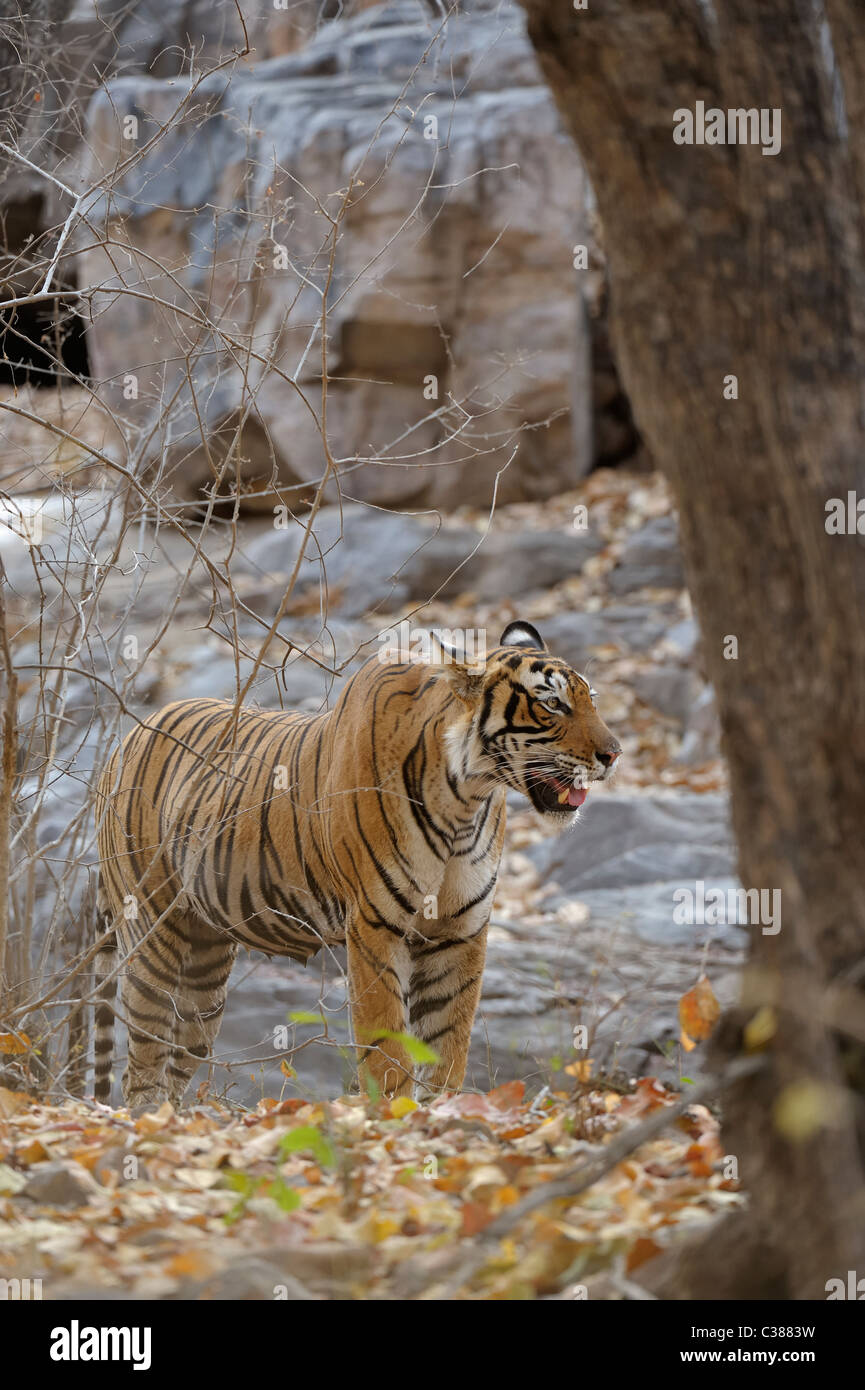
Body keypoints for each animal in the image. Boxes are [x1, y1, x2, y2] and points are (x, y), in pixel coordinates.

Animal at [92, 619, 621, 1107]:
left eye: (590, 699)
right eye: (552, 704)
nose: (613, 755)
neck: (466, 801)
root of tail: (124, 740)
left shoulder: (461, 930)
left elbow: (448, 1043)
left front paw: (441, 1111)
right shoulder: (375, 925)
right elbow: (387, 1042)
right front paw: (393, 1113)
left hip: (205, 964)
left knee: (177, 1057)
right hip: (154, 935)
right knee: (142, 1060)